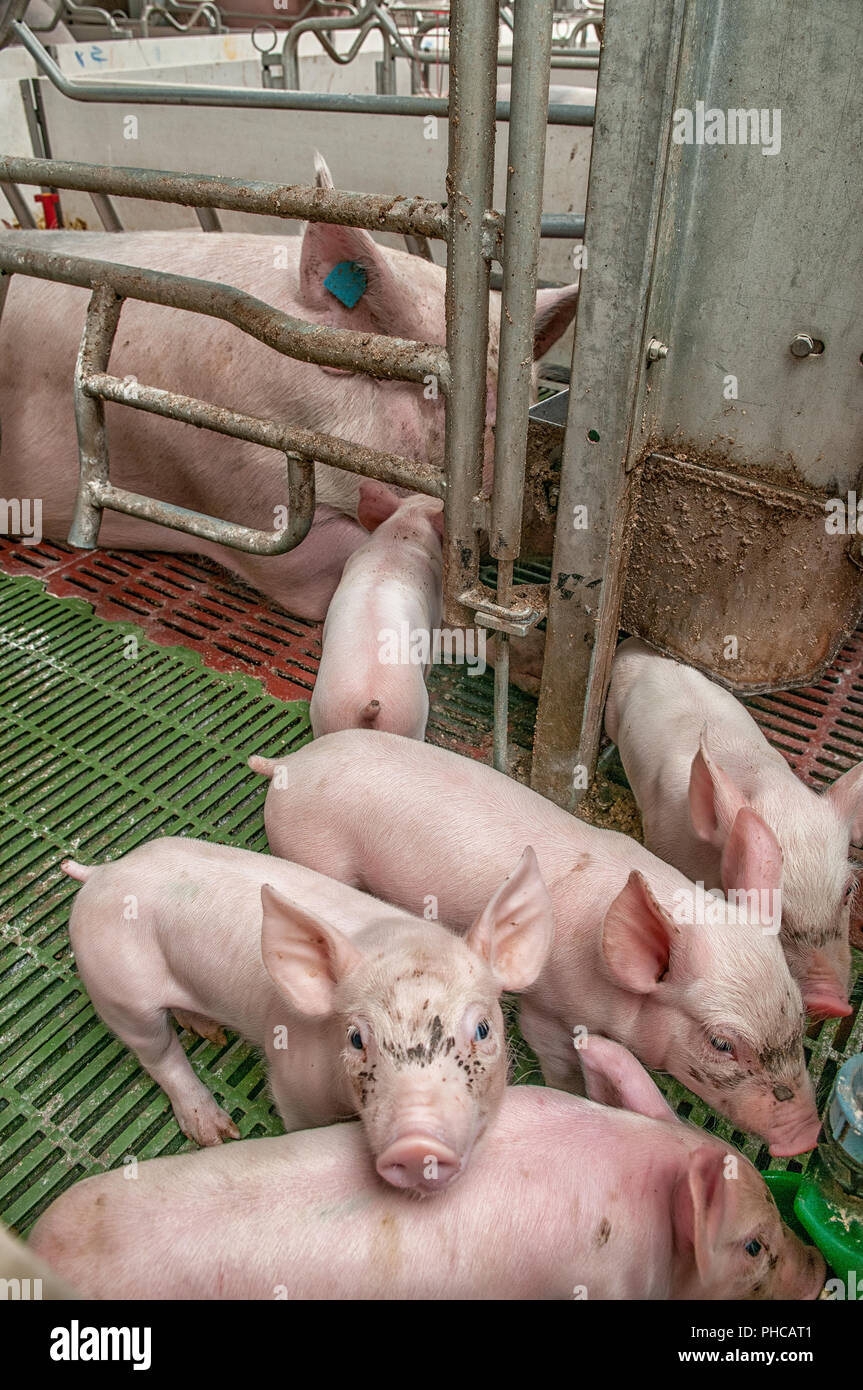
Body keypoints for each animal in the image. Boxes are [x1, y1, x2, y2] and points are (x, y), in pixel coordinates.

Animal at [61, 836, 552, 1192]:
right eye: (356, 1038)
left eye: (483, 1029)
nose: (417, 1146)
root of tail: (103, 872)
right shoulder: (292, 1083)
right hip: (117, 989)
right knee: (158, 1054)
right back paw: (216, 1131)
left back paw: (210, 1032)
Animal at [249, 730, 821, 1156]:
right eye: (722, 1043)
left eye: (797, 1009)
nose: (805, 1135)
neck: (599, 959)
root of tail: (285, 762)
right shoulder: (548, 1004)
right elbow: (555, 1055)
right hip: (309, 848)